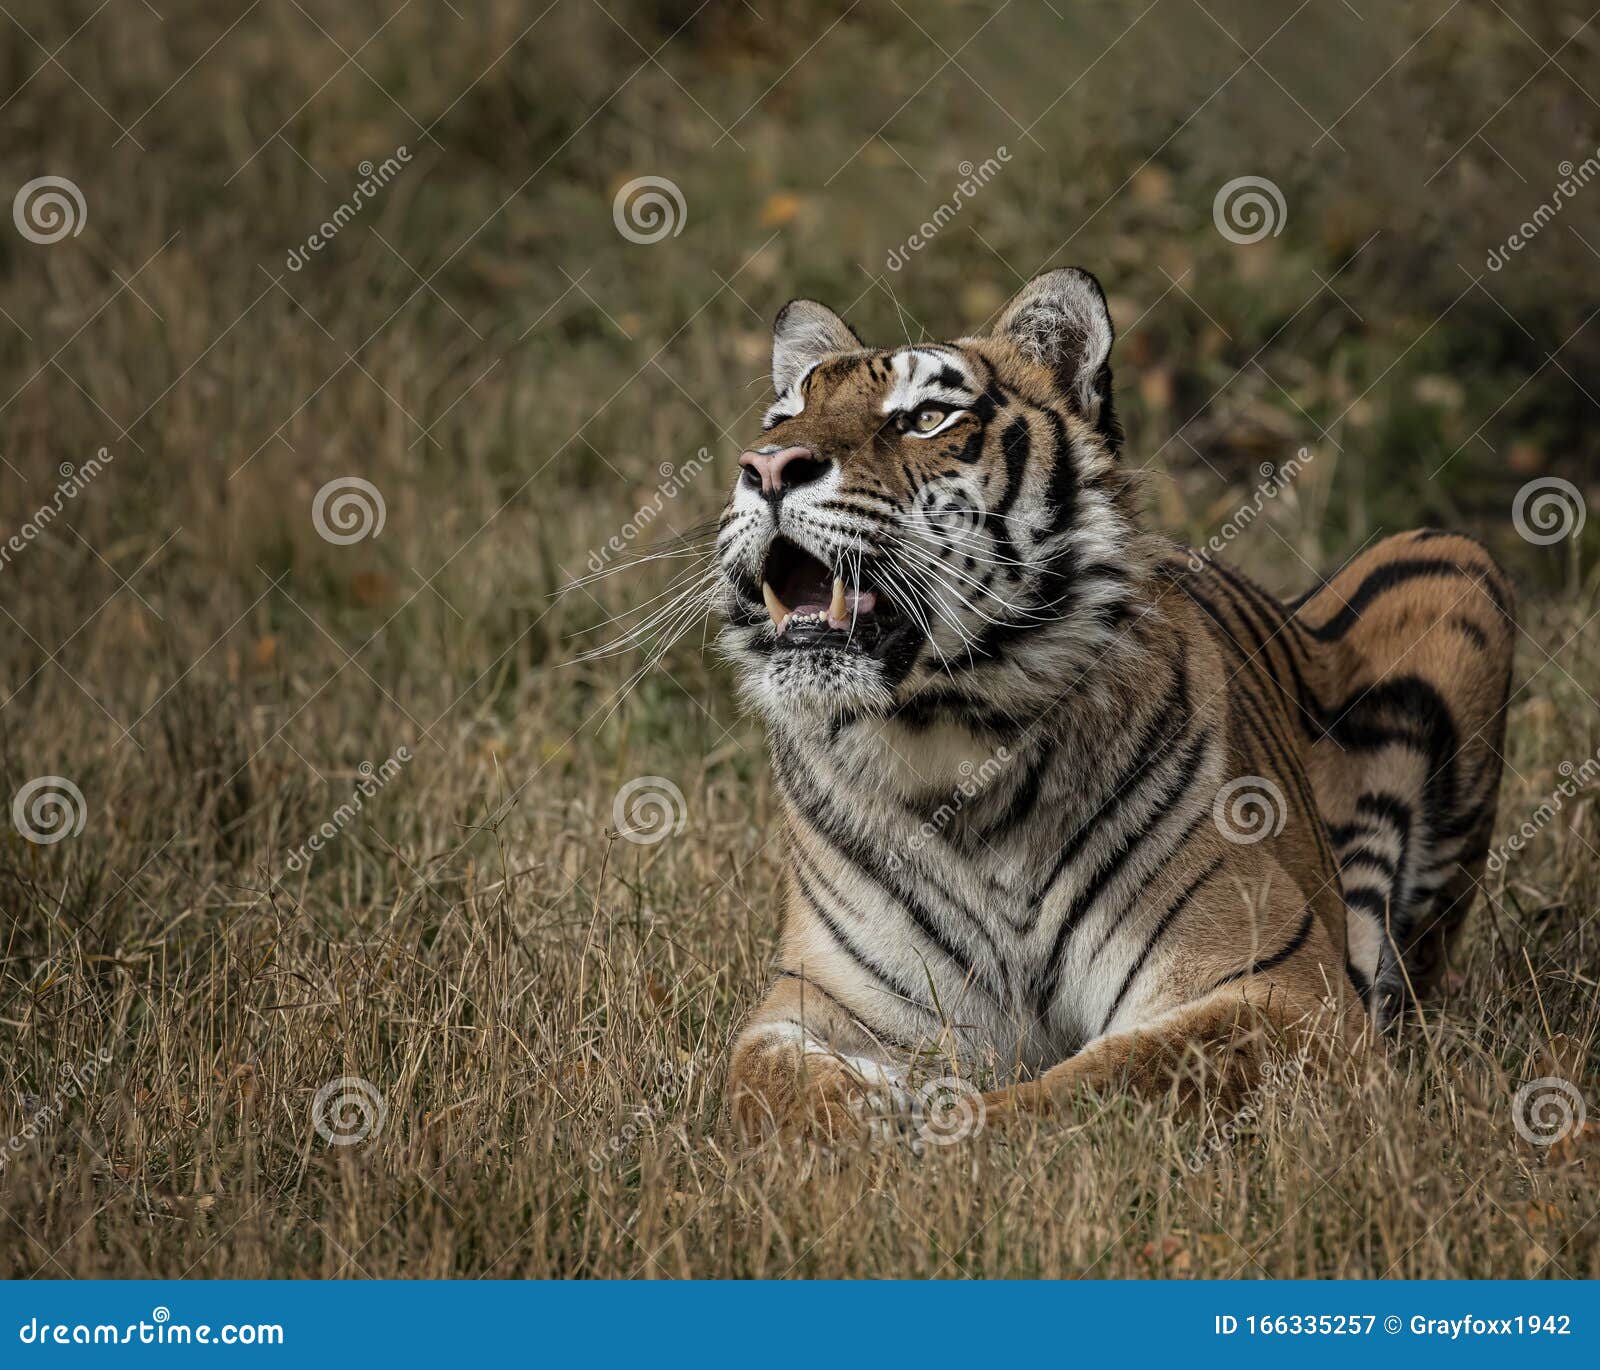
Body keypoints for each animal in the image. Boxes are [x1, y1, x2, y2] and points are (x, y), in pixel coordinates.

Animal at [712, 267, 1516, 1139]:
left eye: (926, 418)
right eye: (782, 419)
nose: (768, 466)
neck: (953, 745)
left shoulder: (1282, 991)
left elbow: (1094, 1087)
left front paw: (938, 1131)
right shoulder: (820, 1001)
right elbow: (767, 1084)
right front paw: (873, 1119)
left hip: (1453, 560)